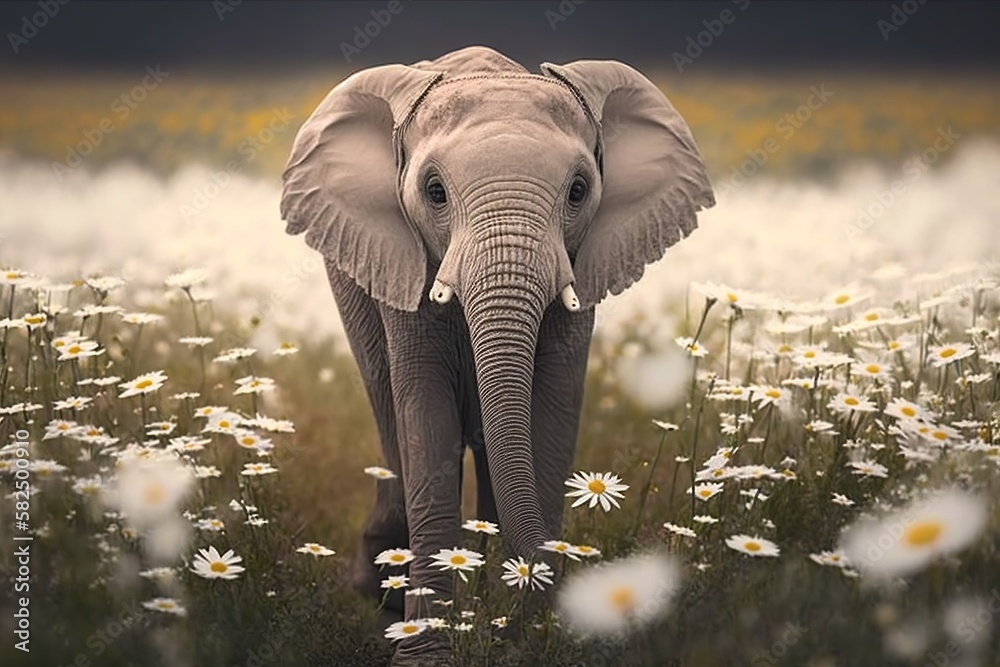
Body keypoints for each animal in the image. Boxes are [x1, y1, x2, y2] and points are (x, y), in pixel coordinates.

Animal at [280, 45, 714, 664]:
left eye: (578, 191)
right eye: (434, 192)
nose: (555, 611)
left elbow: (551, 414)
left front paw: (527, 638)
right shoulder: (405, 262)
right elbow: (426, 416)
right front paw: (424, 653)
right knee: (389, 415)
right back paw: (383, 591)